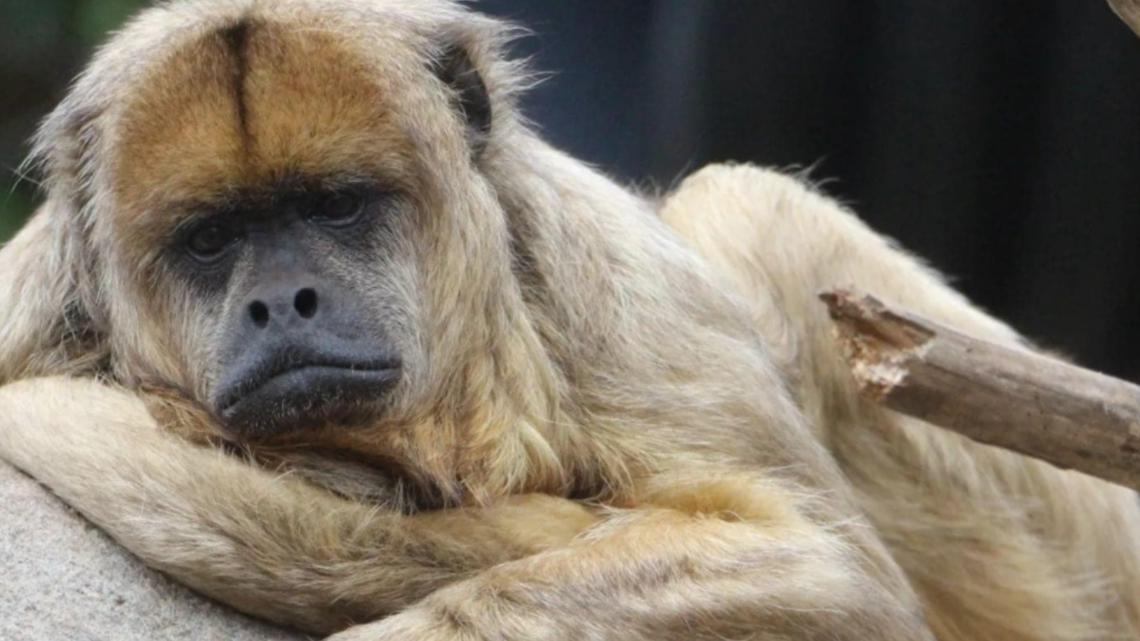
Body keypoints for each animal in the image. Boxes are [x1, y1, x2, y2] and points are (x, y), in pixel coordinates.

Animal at [0, 1, 1137, 640]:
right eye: (212, 239)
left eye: (336, 206)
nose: (283, 300)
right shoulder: (30, 299)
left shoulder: (592, 274)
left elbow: (834, 575)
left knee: (740, 204)